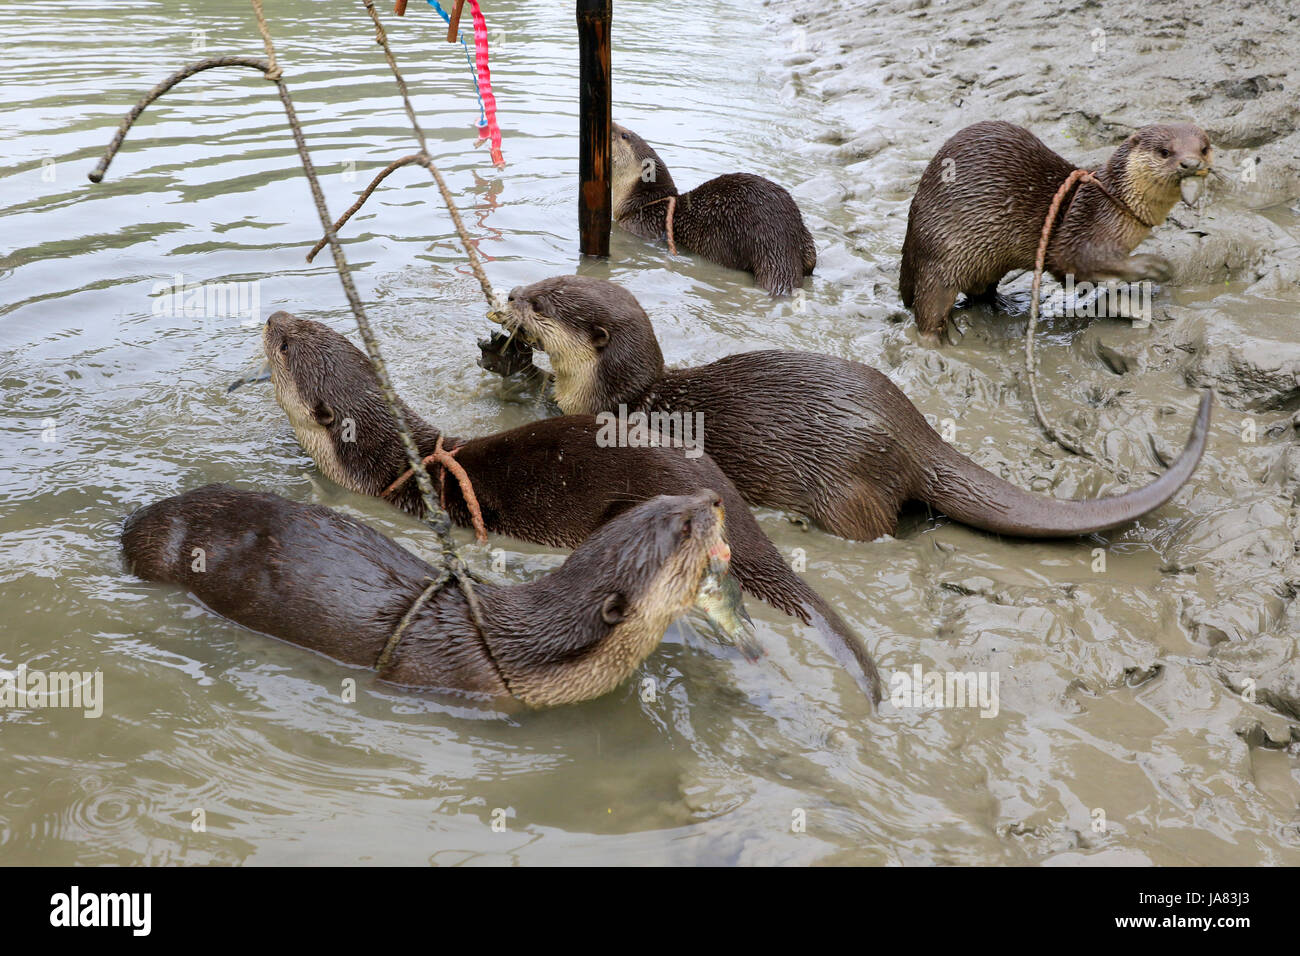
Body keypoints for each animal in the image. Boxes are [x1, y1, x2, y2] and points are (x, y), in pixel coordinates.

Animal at [491, 275, 1213, 542]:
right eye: (543, 282)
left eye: (545, 301)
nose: (511, 295)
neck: (625, 395)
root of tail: (916, 436)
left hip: (845, 479)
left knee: (874, 528)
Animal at [610, 123, 816, 297]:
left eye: (624, 135)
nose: (611, 122)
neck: (644, 204)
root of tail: (778, 237)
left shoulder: (638, 226)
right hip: (806, 239)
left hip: (722, 237)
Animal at [900, 121, 1213, 340]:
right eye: (1165, 152)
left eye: (1204, 148)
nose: (1191, 164)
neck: (1115, 204)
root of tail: (912, 229)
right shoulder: (1081, 234)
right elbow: (1082, 264)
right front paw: (1154, 266)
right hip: (942, 253)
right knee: (929, 307)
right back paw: (938, 340)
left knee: (979, 290)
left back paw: (1006, 303)